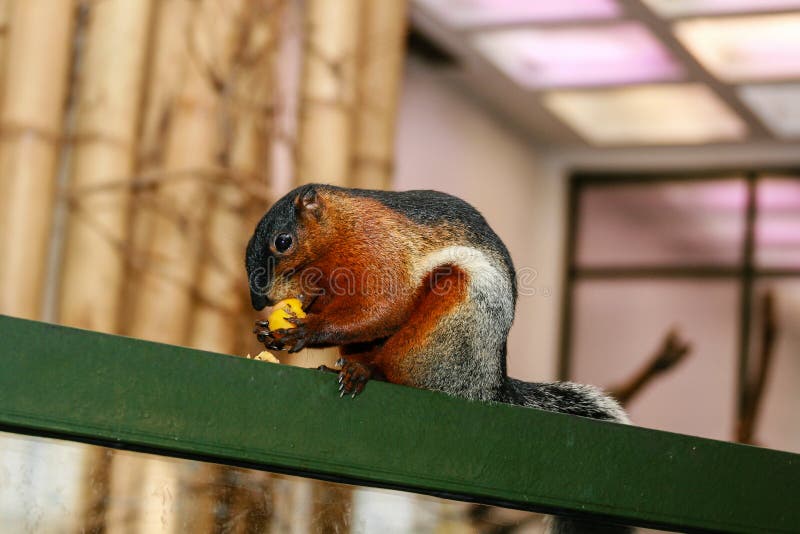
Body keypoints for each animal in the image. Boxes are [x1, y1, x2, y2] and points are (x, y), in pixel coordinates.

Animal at [246, 184, 632, 533]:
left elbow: (382, 305)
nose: (258, 300)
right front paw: (277, 326)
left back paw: (366, 370)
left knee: (402, 370)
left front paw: (300, 332)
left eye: (283, 241)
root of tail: (486, 384)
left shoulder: (377, 247)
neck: (339, 228)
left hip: (442, 325)